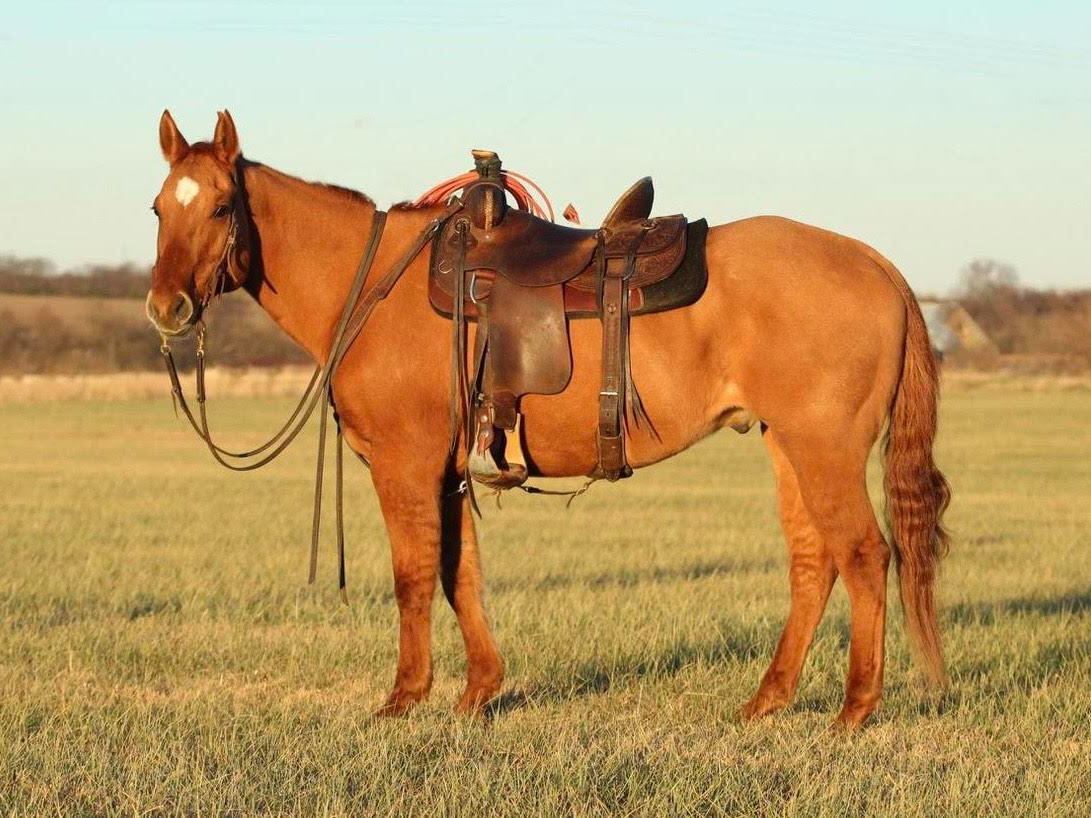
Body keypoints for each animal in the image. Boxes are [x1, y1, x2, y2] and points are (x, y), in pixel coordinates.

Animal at [146, 110, 951, 729]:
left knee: (864, 555)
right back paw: (768, 701)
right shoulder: (450, 470)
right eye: (158, 208)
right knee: (814, 563)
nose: (165, 307)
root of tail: (877, 264)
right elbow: (459, 573)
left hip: (825, 449)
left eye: (220, 207)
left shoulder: (406, 465)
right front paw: (478, 693)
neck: (372, 284)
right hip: (789, 447)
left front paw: (404, 699)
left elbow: (413, 575)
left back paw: (855, 708)